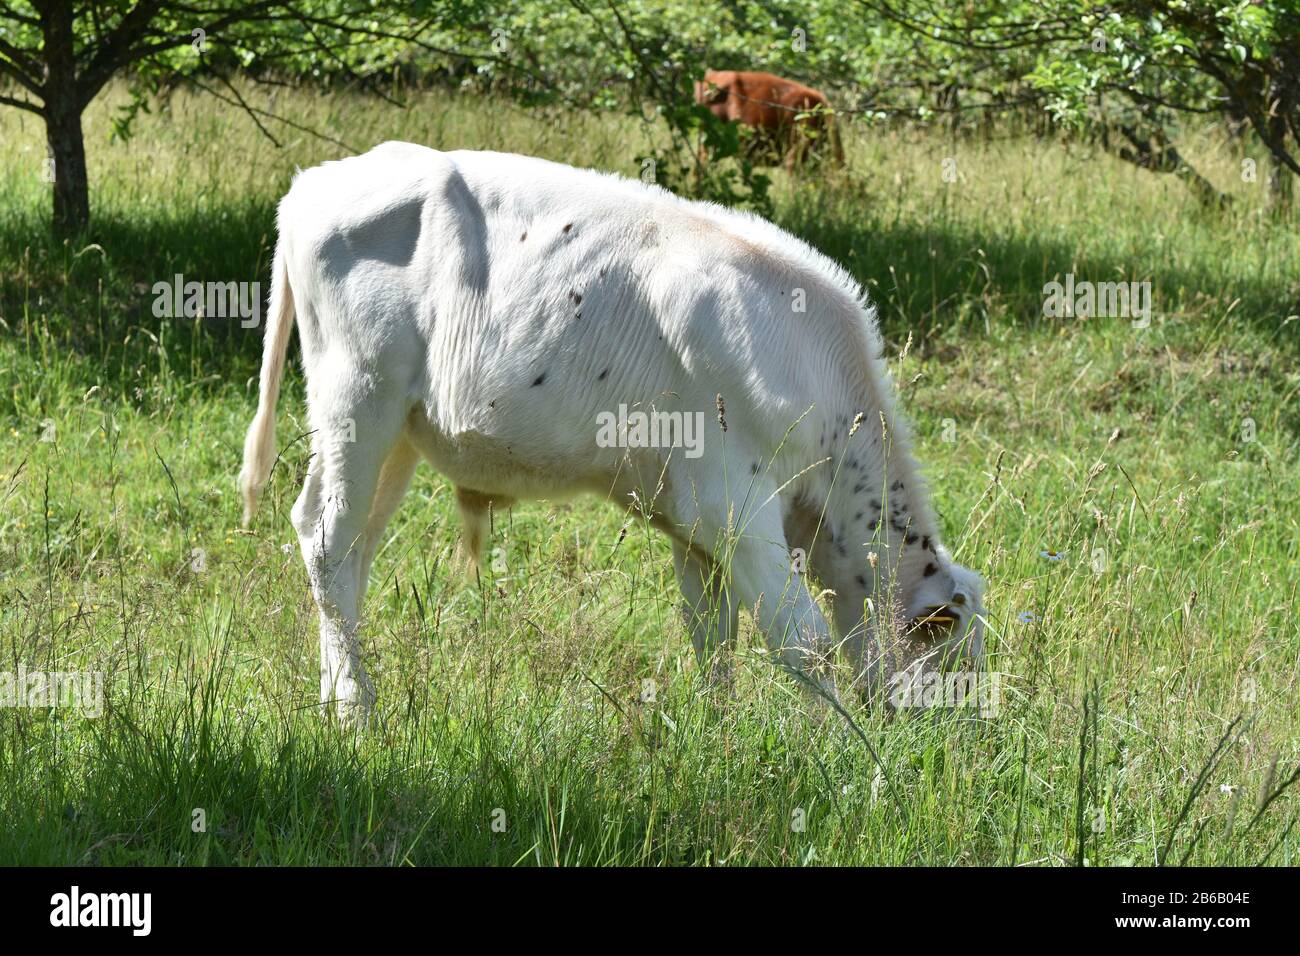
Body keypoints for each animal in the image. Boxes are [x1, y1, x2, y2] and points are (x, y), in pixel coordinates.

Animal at [239, 142, 984, 726]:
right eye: (955, 658)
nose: (966, 746)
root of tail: (319, 179)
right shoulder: (738, 509)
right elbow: (801, 640)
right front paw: (836, 753)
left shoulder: (697, 523)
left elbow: (714, 636)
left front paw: (721, 734)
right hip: (356, 401)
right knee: (326, 536)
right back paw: (357, 711)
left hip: (400, 432)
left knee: (354, 550)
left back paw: (334, 699)